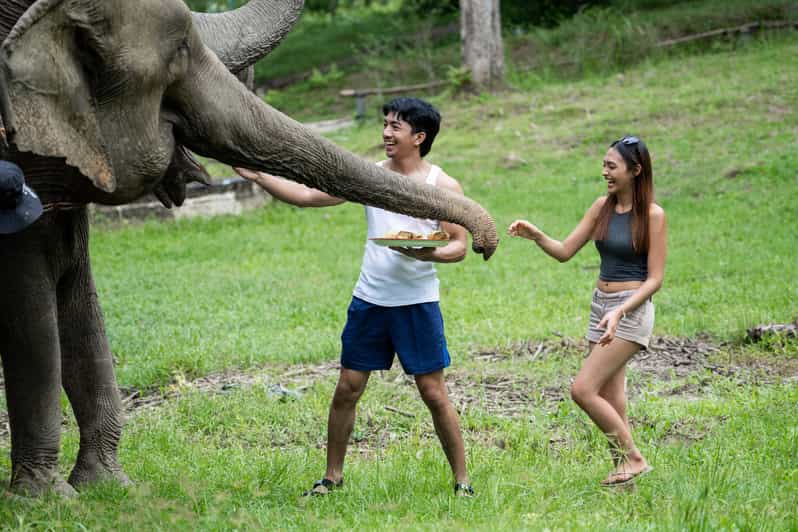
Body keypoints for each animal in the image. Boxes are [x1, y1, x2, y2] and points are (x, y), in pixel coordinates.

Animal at [0, 0, 498, 497]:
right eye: (180, 51)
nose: (485, 246)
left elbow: (79, 304)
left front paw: (107, 489)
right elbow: (33, 311)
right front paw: (55, 499)